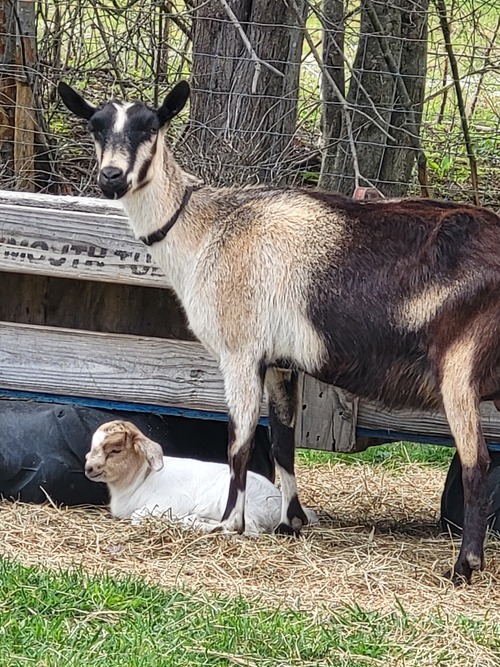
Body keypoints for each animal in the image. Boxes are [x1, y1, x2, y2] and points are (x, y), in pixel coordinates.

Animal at [85, 420, 316, 533]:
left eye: (115, 450)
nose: (89, 468)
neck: (140, 480)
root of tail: (278, 503)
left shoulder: (174, 501)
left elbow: (138, 515)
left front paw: (179, 519)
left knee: (246, 528)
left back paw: (195, 523)